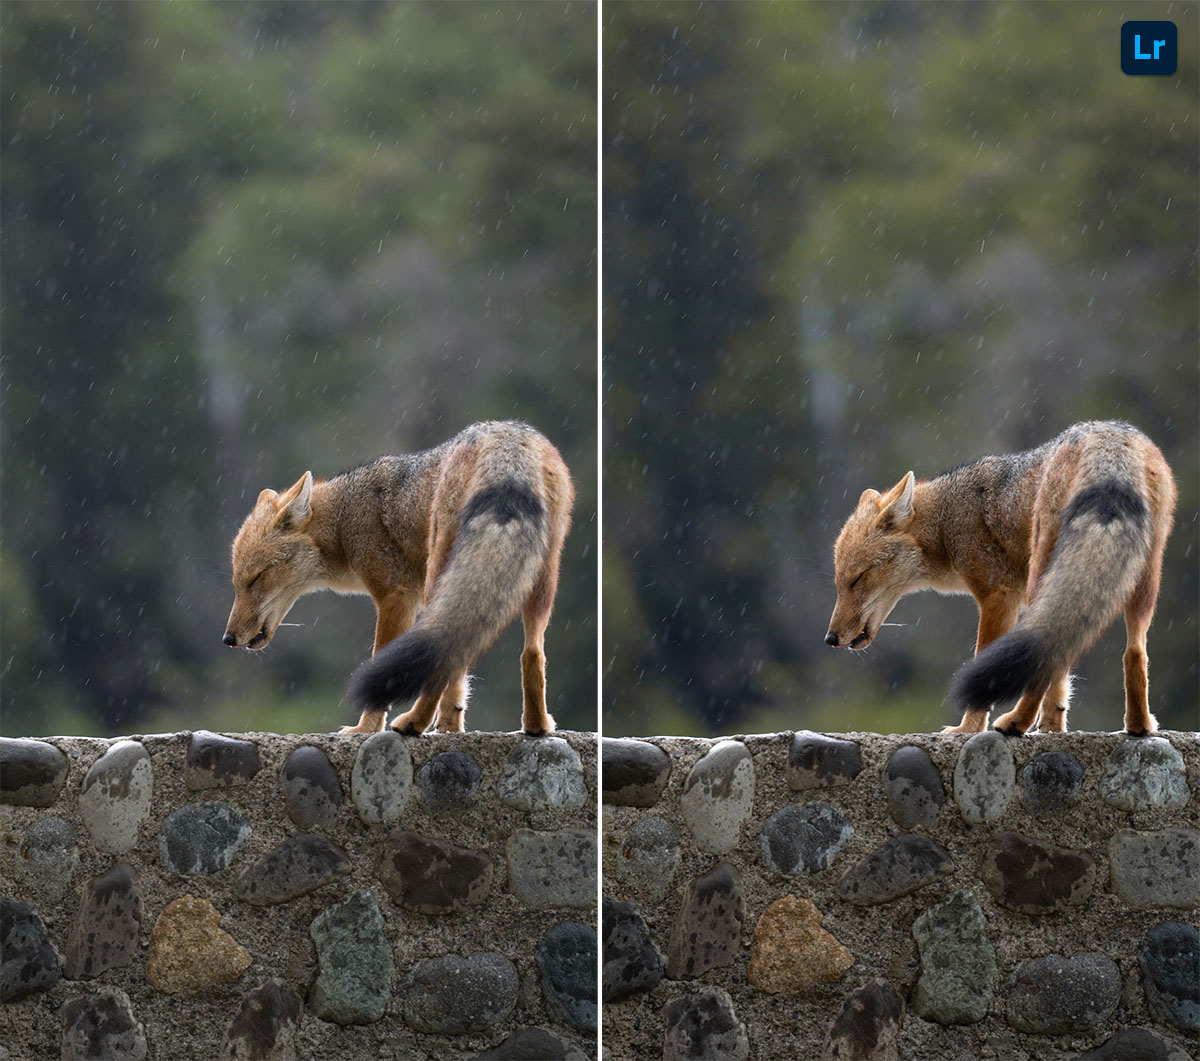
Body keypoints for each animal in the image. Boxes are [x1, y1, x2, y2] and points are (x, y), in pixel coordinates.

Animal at [223, 420, 573, 736]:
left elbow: (384, 665)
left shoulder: (396, 597)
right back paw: (536, 726)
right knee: (529, 653)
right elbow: (458, 676)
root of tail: (506, 436)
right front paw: (450, 727)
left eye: (255, 579)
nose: (228, 639)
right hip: (537, 581)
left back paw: (413, 723)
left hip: (440, 578)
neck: (343, 524)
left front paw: (366, 729)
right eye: (236, 584)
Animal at [825, 421, 1176, 736]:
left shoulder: (999, 597)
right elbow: (1061, 677)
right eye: (838, 584)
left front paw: (968, 729)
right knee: (1132, 653)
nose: (830, 638)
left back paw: (1016, 723)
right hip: (1139, 580)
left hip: (1042, 578)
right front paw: (1052, 727)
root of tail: (1109, 436)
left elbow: (985, 664)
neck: (946, 523)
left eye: (857, 579)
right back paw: (1139, 726)